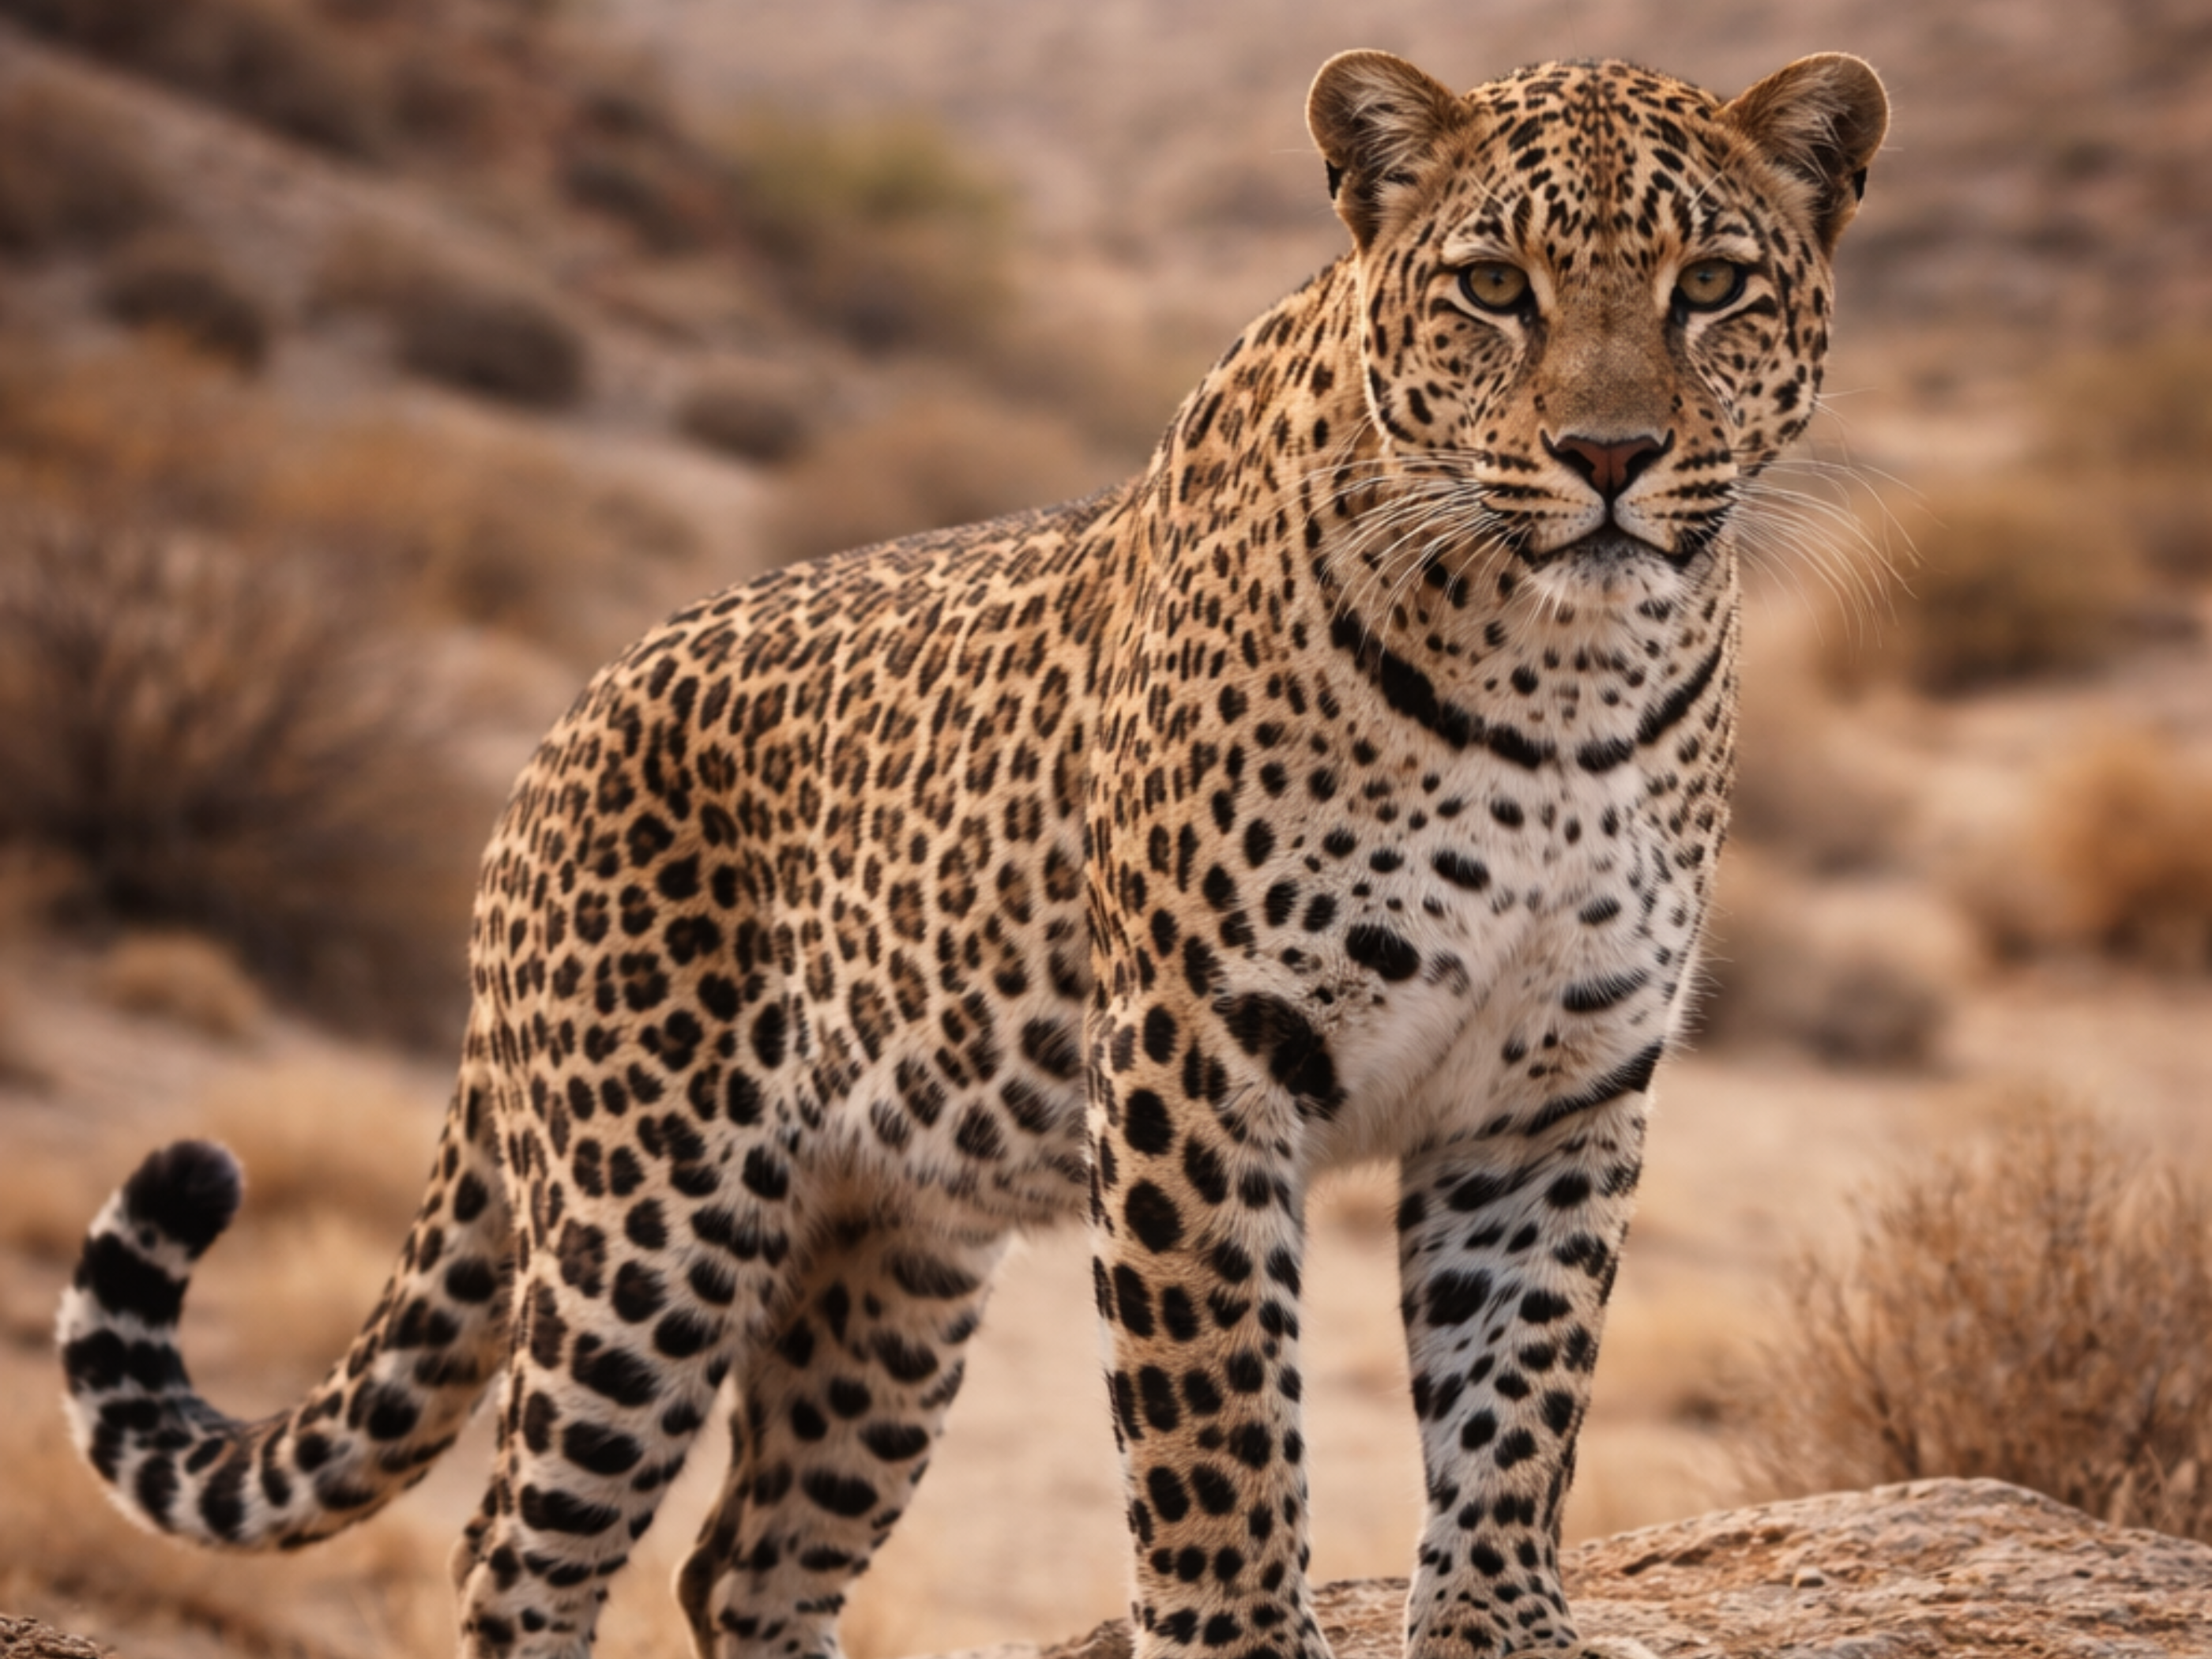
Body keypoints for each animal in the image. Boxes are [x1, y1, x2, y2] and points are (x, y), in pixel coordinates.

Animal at [56, 46, 1886, 1659]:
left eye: (1713, 285)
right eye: (1495, 286)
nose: (1609, 458)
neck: (1564, 672)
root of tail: (557, 738)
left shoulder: (1556, 1091)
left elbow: (1521, 1393)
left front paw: (1505, 1624)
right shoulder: (1200, 1058)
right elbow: (1217, 1427)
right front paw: (1237, 1636)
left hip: (894, 1269)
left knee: (748, 1561)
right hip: (646, 1230)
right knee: (517, 1550)